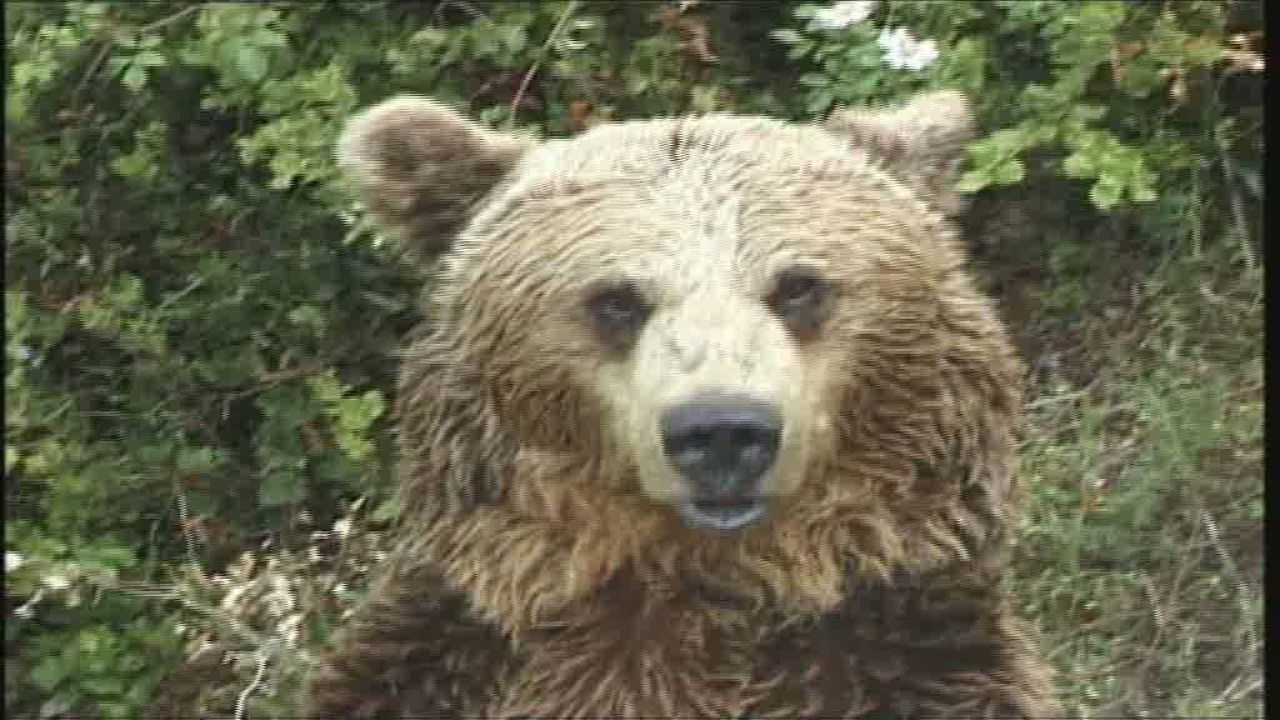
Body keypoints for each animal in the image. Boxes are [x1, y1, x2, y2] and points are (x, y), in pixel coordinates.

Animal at [303, 90, 1061, 719]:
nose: (722, 430)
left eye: (798, 286)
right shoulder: (455, 653)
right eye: (616, 299)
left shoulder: (904, 651)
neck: (687, 582)